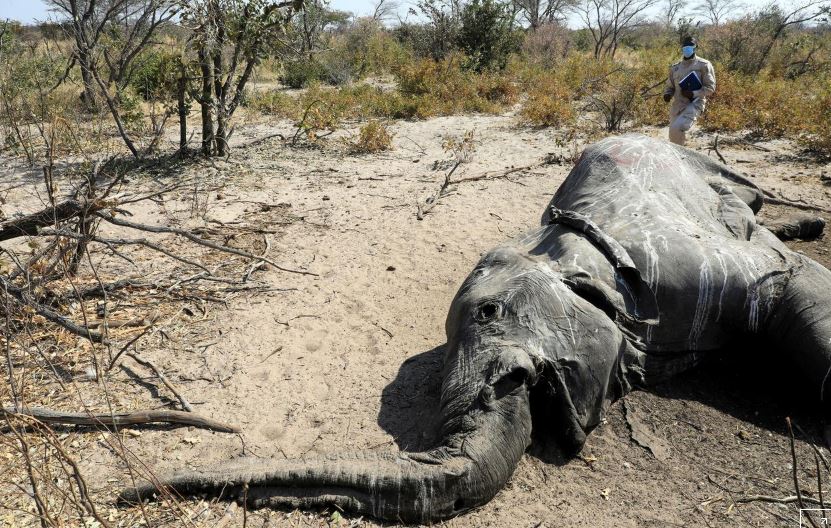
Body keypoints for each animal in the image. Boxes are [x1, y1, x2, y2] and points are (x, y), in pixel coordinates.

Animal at [120, 134, 831, 523]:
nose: (133, 492)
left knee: (752, 199)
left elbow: (793, 284)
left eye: (490, 314)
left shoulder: (689, 267)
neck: (566, 245)